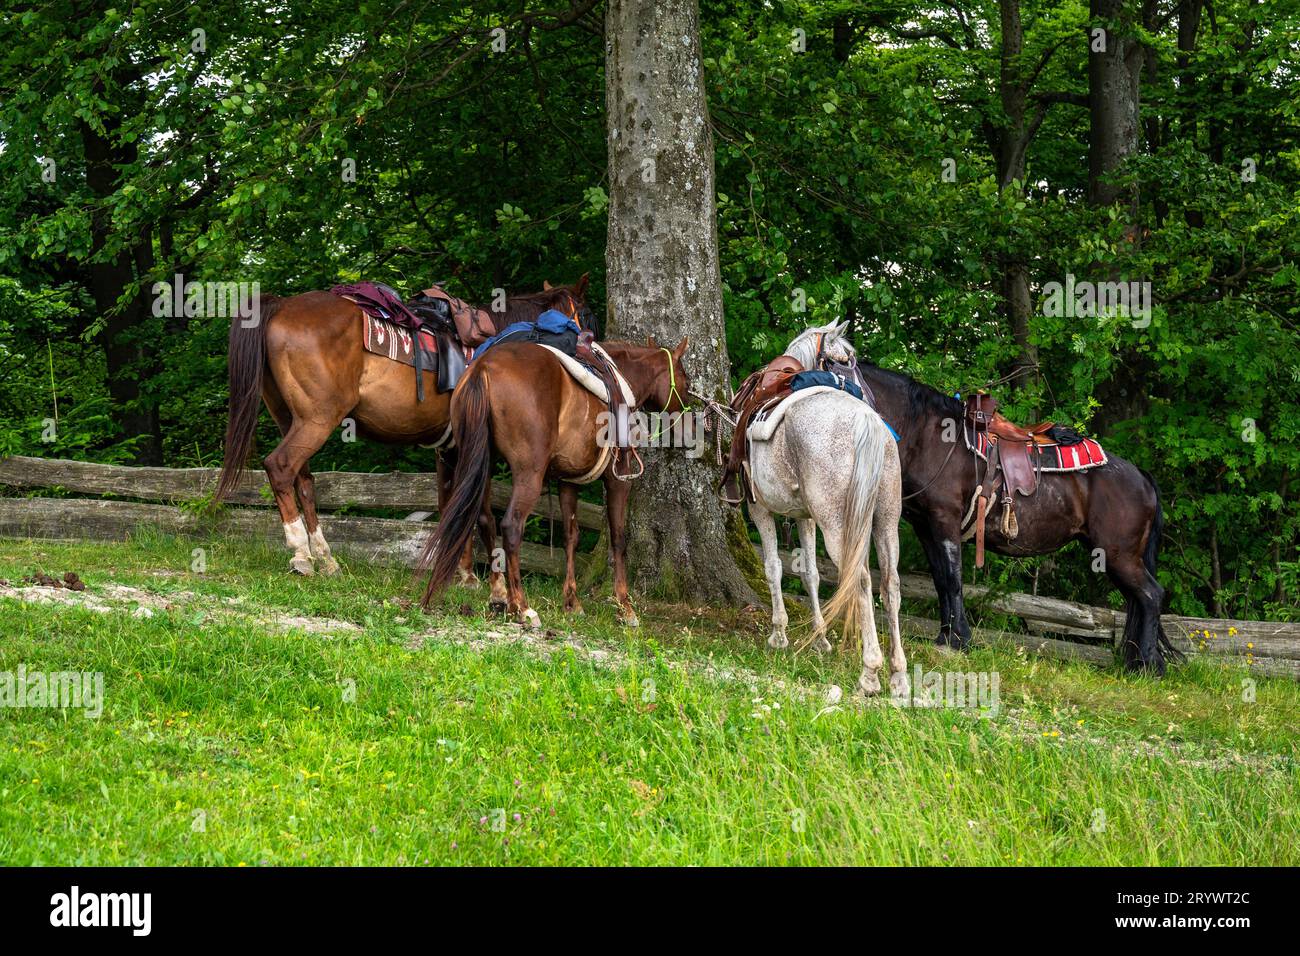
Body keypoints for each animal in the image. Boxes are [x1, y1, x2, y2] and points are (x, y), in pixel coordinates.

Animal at [215, 277, 594, 587]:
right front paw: (473, 578)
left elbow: (450, 505)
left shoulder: (449, 448)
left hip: (290, 418)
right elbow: (477, 511)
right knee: (280, 467)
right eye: (587, 316)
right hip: (317, 418)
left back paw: (326, 559)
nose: (593, 349)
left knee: (304, 481)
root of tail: (281, 304)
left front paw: (461, 573)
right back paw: (301, 555)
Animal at [419, 337, 691, 629]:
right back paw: (522, 606)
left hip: (481, 464)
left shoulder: (568, 481)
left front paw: (572, 602)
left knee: (485, 520)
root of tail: (483, 367)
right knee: (511, 526)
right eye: (685, 378)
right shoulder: (619, 479)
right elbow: (618, 538)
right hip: (529, 474)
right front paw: (625, 607)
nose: (688, 426)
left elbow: (571, 536)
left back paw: (499, 595)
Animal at [746, 321, 909, 698]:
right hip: (885, 522)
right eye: (842, 361)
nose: (870, 398)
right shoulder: (805, 518)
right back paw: (898, 674)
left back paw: (870, 672)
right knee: (890, 584)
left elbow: (773, 567)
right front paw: (819, 639)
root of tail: (867, 421)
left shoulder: (759, 508)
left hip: (838, 527)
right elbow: (810, 573)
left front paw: (778, 634)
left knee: (860, 578)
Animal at [855, 362, 1181, 674]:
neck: (927, 435)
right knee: (1140, 600)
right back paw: (1140, 663)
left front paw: (958, 641)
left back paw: (1147, 666)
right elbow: (940, 582)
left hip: (1118, 554)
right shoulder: (926, 527)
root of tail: (1141, 477)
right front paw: (946, 637)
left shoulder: (944, 520)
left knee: (1151, 596)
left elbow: (952, 580)